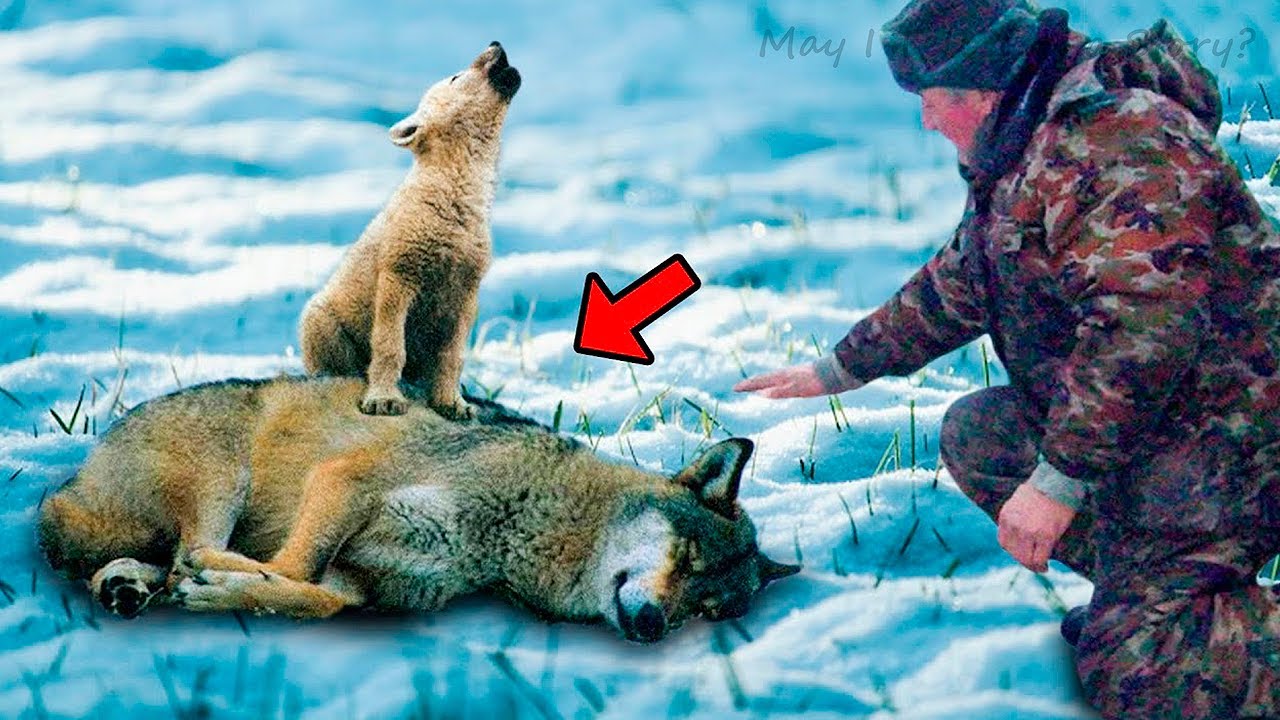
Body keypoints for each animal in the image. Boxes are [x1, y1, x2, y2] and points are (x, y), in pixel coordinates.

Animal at [37, 376, 798, 642]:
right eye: (686, 557)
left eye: (709, 610)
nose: (651, 628)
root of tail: (70, 482)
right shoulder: (346, 481)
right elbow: (297, 570)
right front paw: (227, 584)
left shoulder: (371, 583)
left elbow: (321, 599)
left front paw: (233, 592)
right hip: (223, 480)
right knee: (186, 546)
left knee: (148, 561)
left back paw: (130, 587)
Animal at [298, 42, 521, 420]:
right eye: (456, 77)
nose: (495, 43)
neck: (454, 195)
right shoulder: (399, 274)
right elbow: (390, 345)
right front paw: (383, 400)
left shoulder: (466, 290)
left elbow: (452, 355)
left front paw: (453, 403)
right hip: (320, 322)